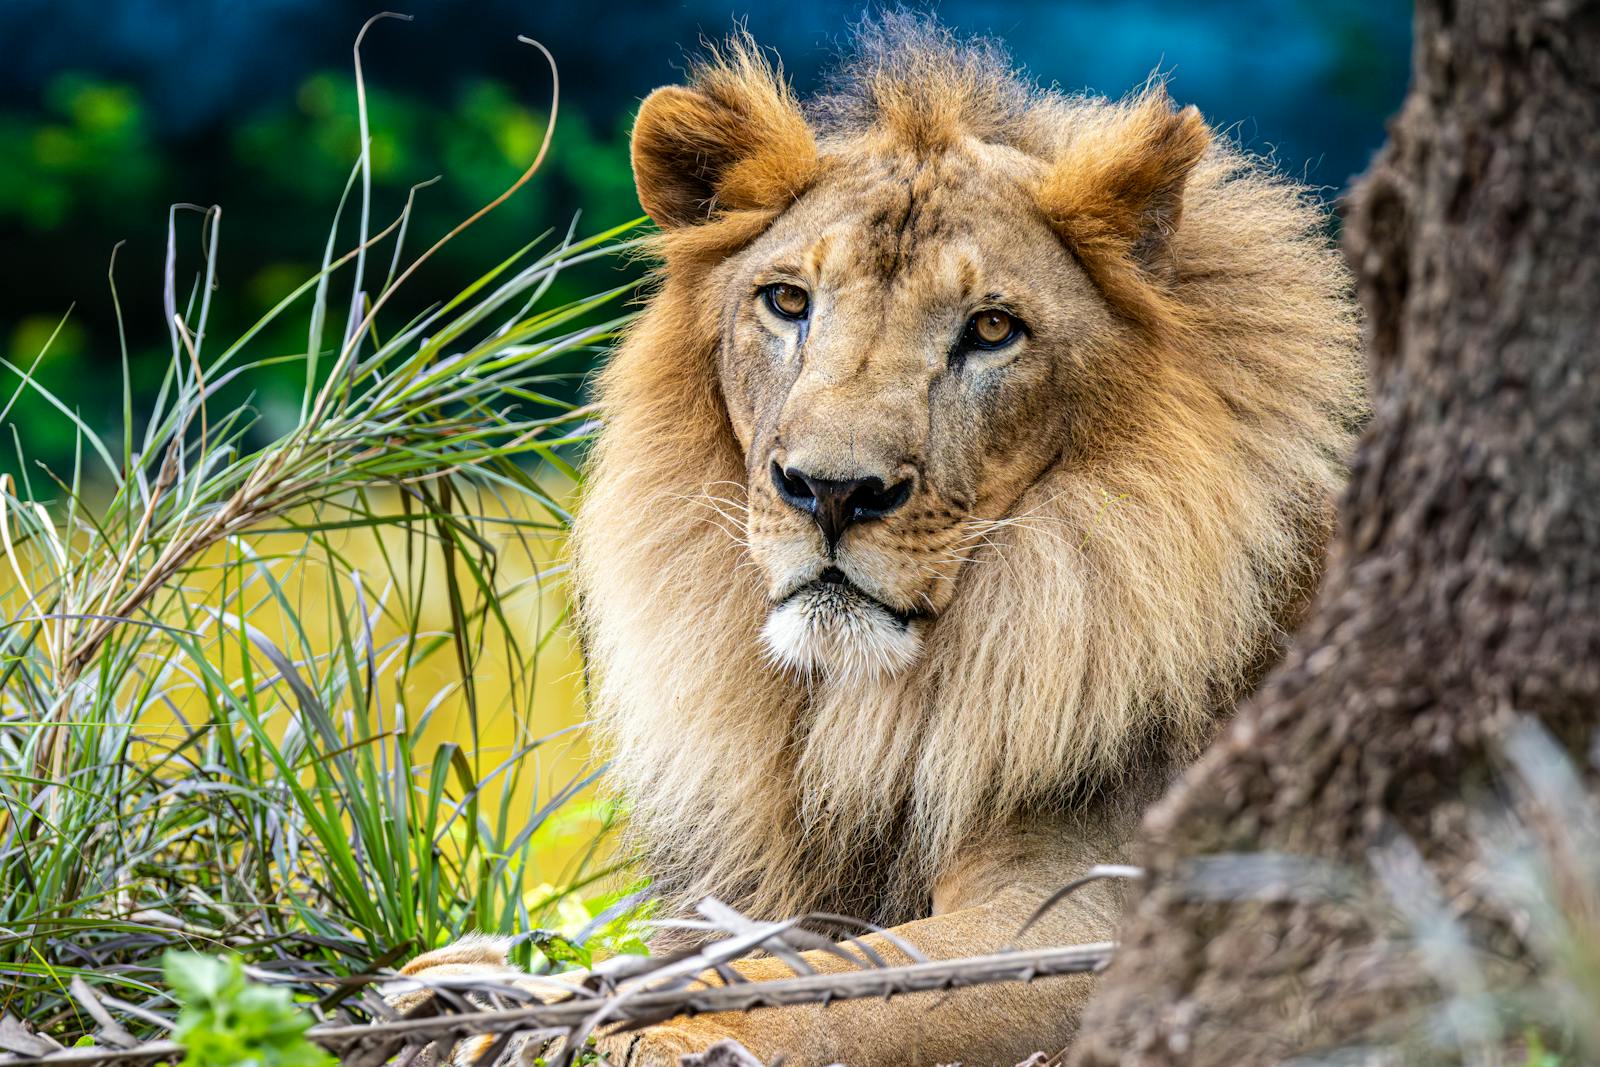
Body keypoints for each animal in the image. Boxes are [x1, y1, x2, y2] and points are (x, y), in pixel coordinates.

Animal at [400, 15, 1364, 1066]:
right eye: (787, 302)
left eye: (993, 328)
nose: (832, 490)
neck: (873, 712)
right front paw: (461, 979)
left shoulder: (1094, 917)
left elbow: (814, 985)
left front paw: (562, 1026)